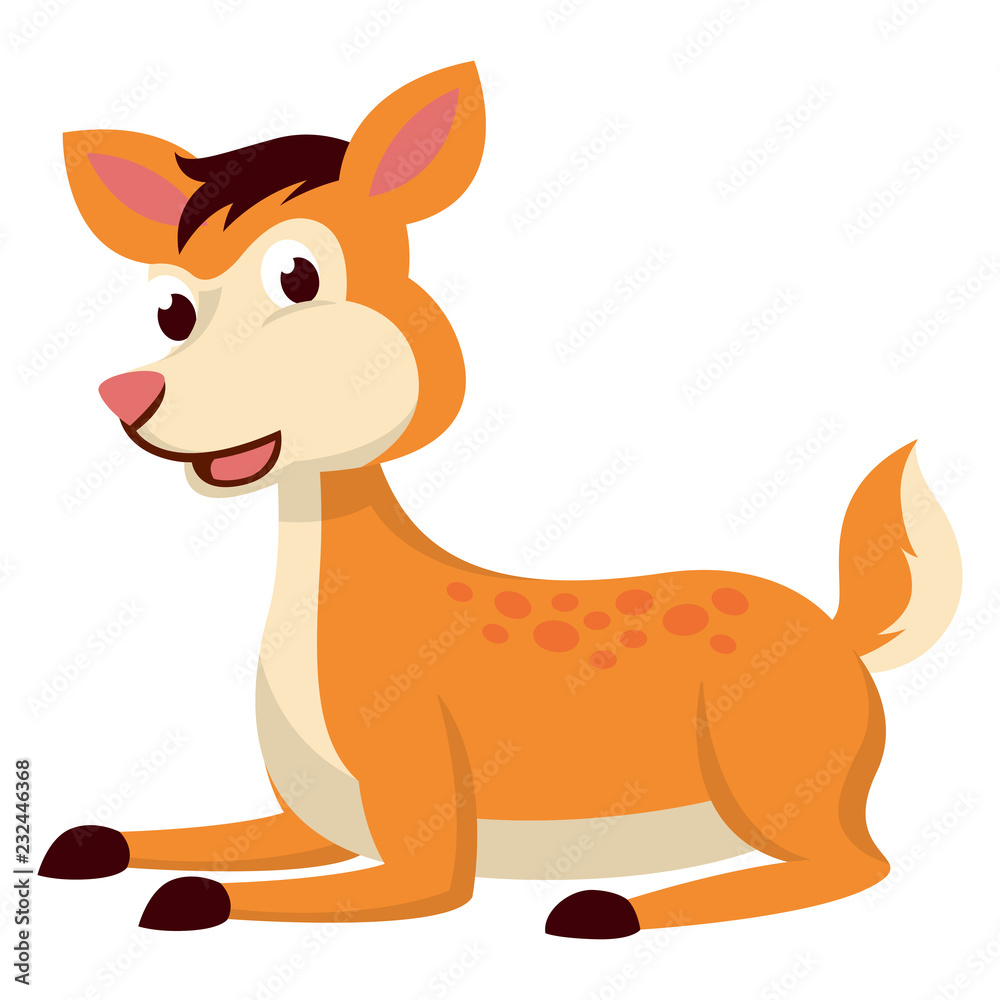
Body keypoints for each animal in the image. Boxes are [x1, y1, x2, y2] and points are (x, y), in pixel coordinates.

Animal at [41, 62, 962, 938]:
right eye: (172, 309)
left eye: (297, 275)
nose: (126, 394)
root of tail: (839, 631)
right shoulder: (318, 821)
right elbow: (181, 839)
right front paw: (84, 845)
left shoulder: (425, 850)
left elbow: (234, 890)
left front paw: (185, 898)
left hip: (774, 782)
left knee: (855, 867)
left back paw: (606, 908)